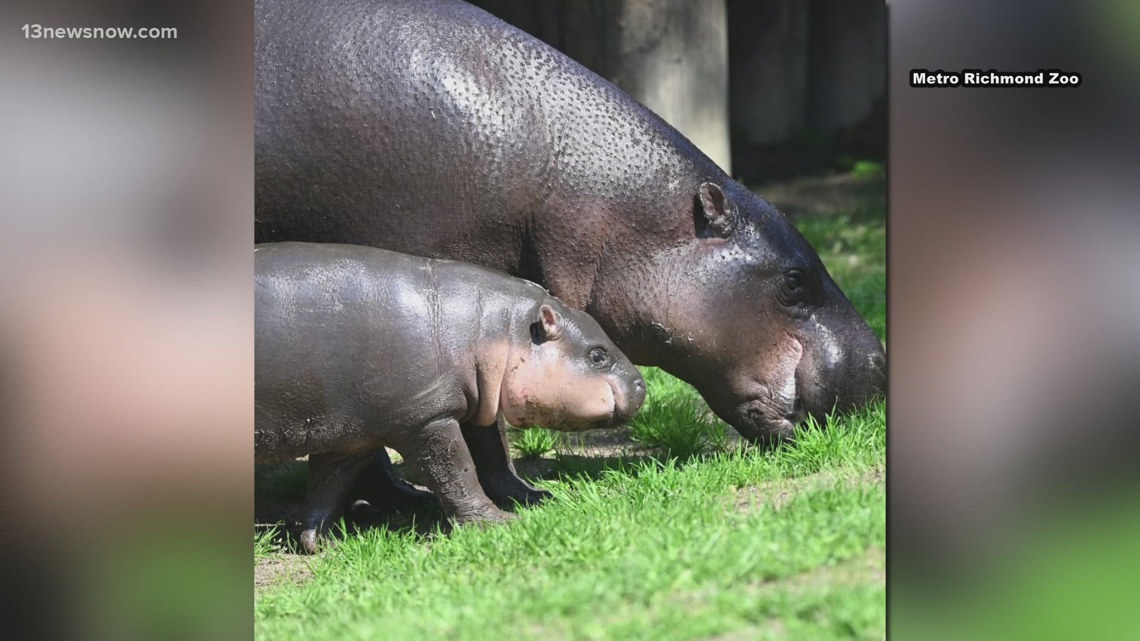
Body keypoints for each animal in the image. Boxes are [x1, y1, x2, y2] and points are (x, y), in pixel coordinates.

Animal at [256, 242, 646, 552]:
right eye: (598, 355)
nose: (642, 384)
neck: (492, 329)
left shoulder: (353, 436)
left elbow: (327, 485)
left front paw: (323, 544)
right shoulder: (427, 419)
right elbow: (457, 473)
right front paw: (501, 523)